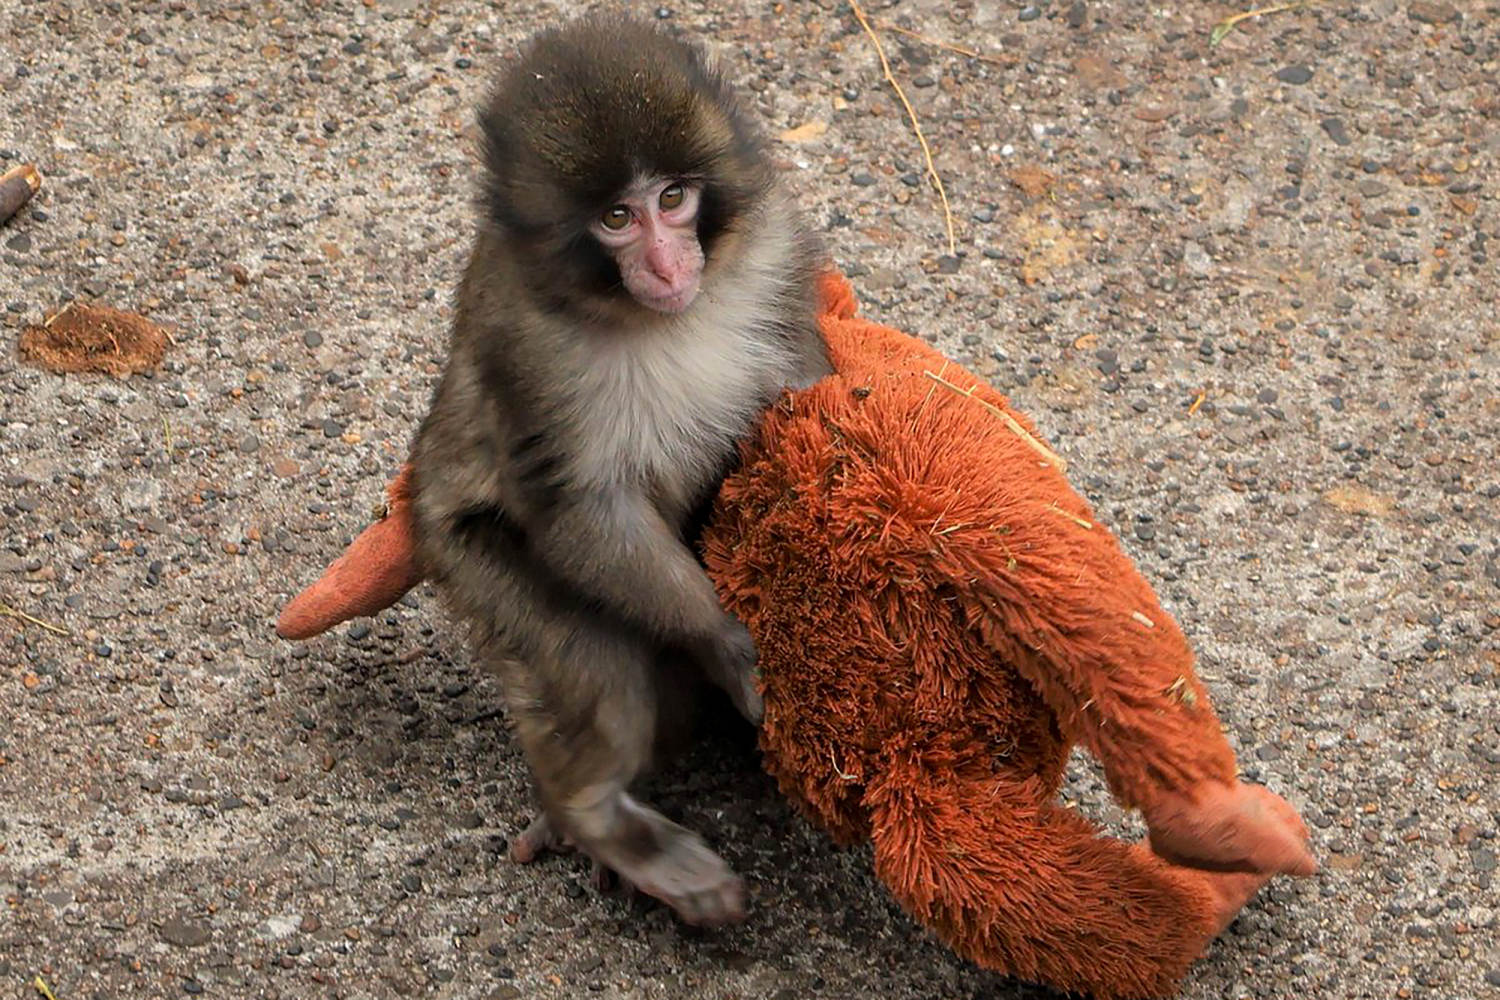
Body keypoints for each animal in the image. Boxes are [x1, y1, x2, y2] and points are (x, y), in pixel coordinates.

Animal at [407, 16, 833, 927]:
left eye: (673, 199)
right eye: (615, 217)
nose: (669, 267)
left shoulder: (775, 254)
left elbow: (806, 392)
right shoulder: (526, 346)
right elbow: (581, 509)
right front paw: (726, 642)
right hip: (467, 559)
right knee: (602, 673)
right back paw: (598, 819)